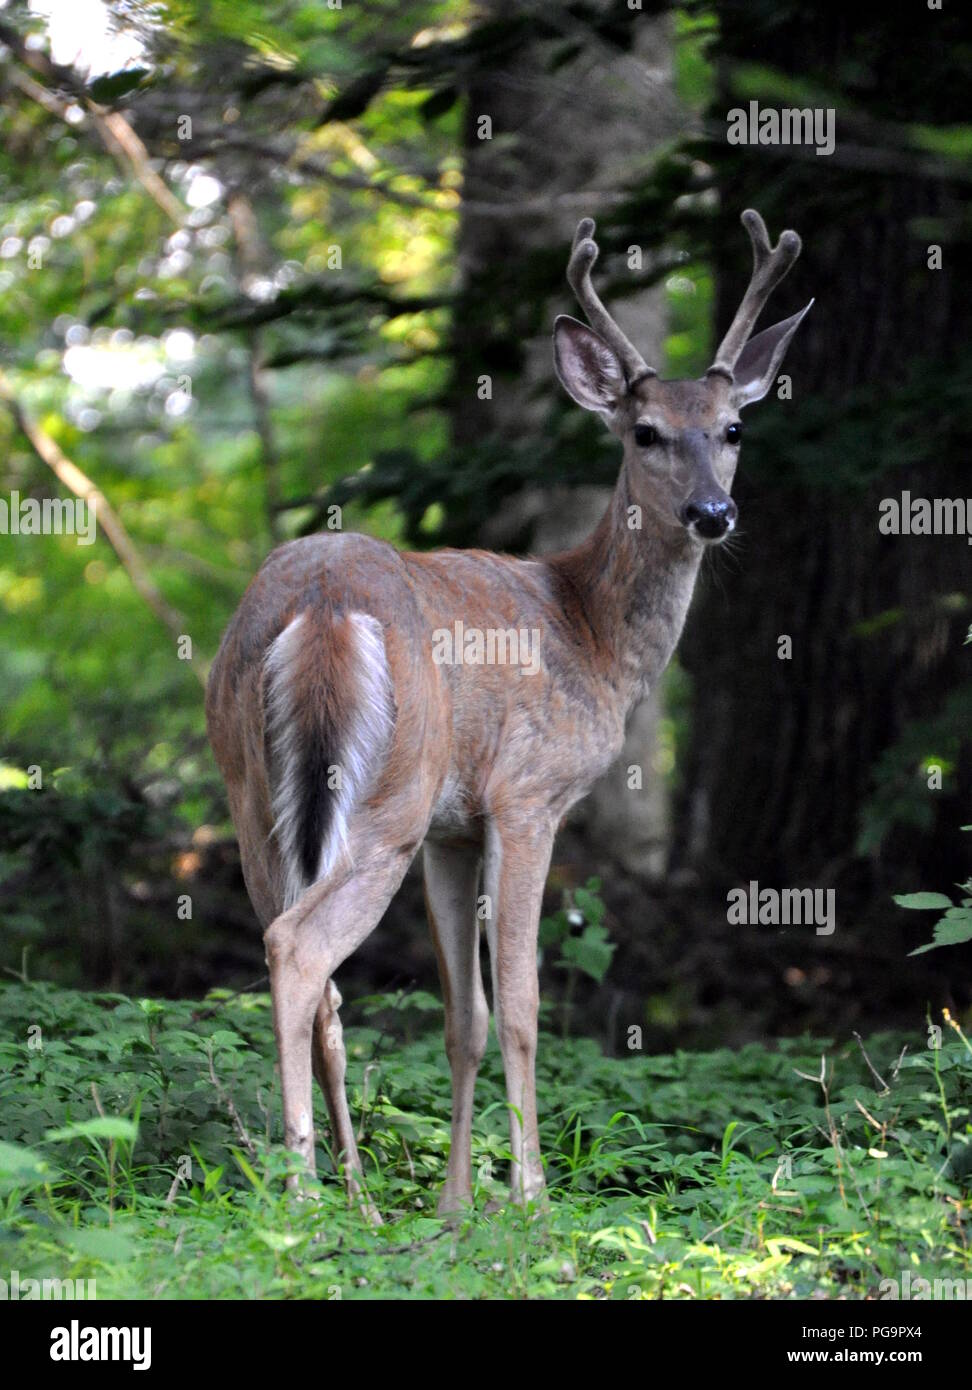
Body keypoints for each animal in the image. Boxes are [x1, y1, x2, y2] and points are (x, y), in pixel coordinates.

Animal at [206, 209, 812, 1219]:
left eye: (732, 427)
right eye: (645, 432)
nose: (713, 512)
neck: (590, 635)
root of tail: (323, 606)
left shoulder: (455, 829)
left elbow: (466, 1017)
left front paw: (456, 1207)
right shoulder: (528, 796)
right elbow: (524, 1003)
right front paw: (530, 1197)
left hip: (256, 797)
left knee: (314, 978)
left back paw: (360, 1201)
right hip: (391, 797)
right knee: (298, 949)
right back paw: (300, 1200)